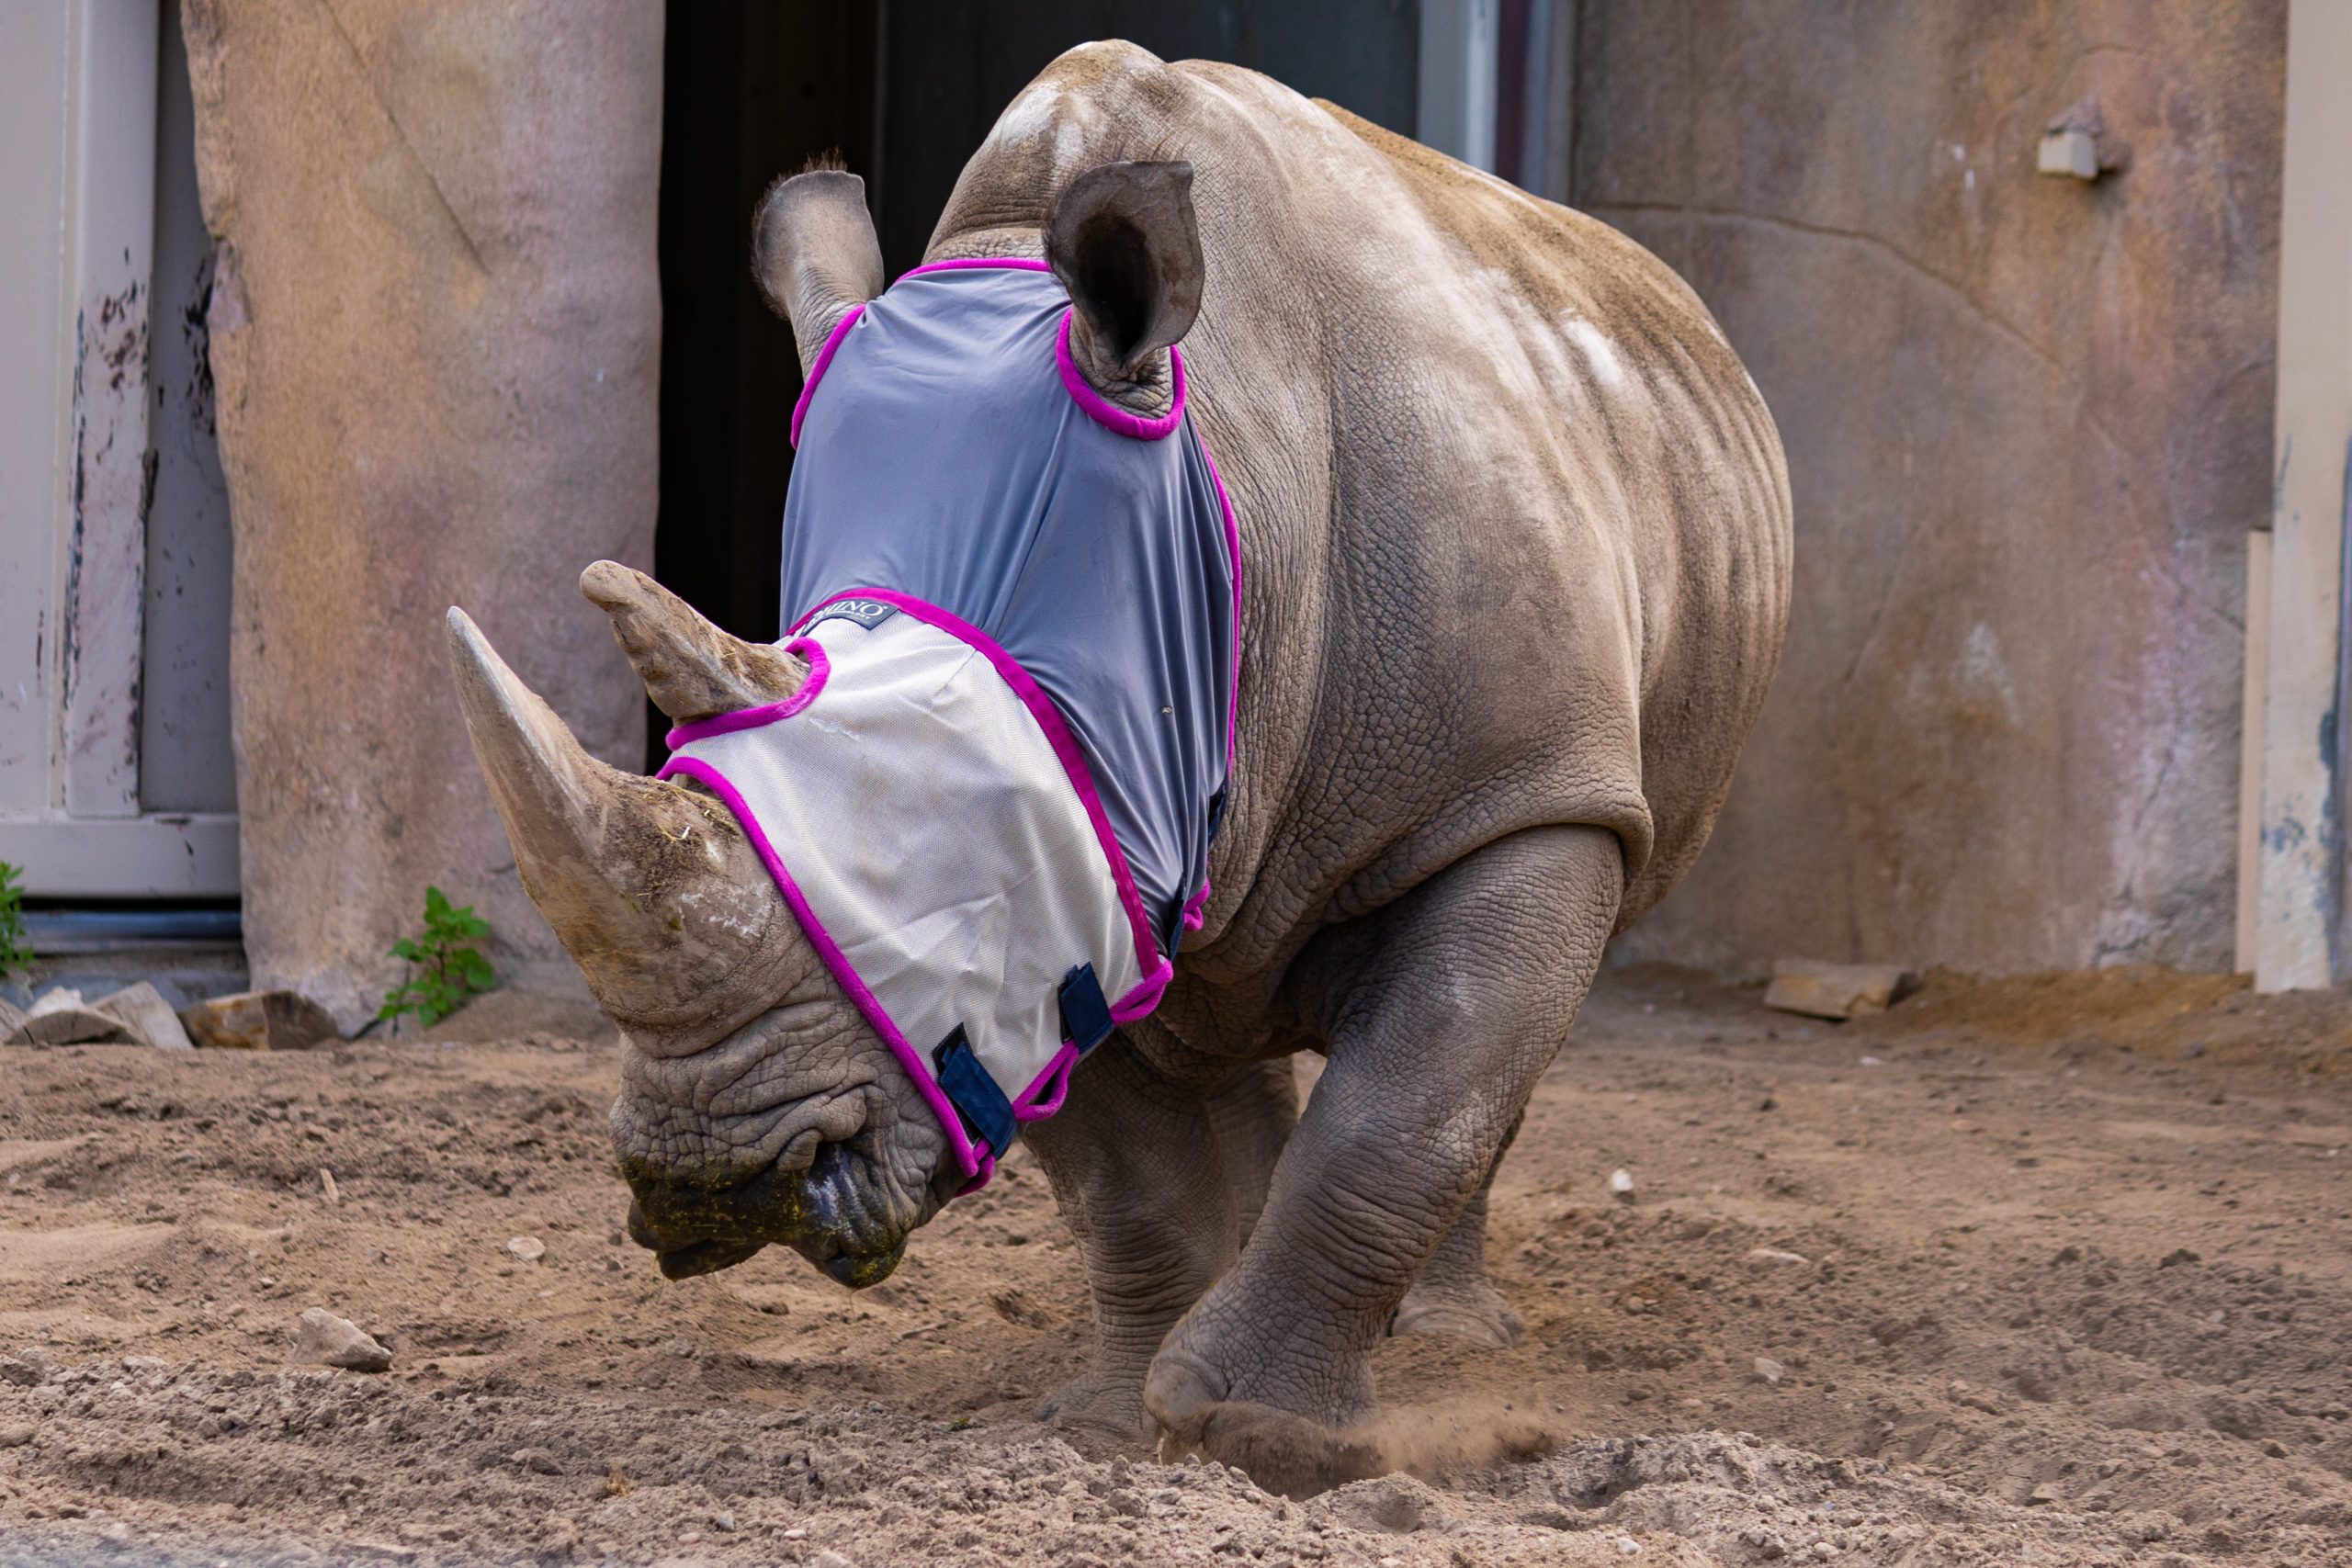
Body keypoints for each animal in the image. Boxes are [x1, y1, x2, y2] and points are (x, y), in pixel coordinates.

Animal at [445, 42, 1788, 1490]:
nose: (712, 1179)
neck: (1237, 481)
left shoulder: (1514, 795)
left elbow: (1412, 1101)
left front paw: (1260, 1436)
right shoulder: (1073, 876)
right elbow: (1128, 1175)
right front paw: (1107, 1423)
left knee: (1488, 1045)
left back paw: (1448, 1339)